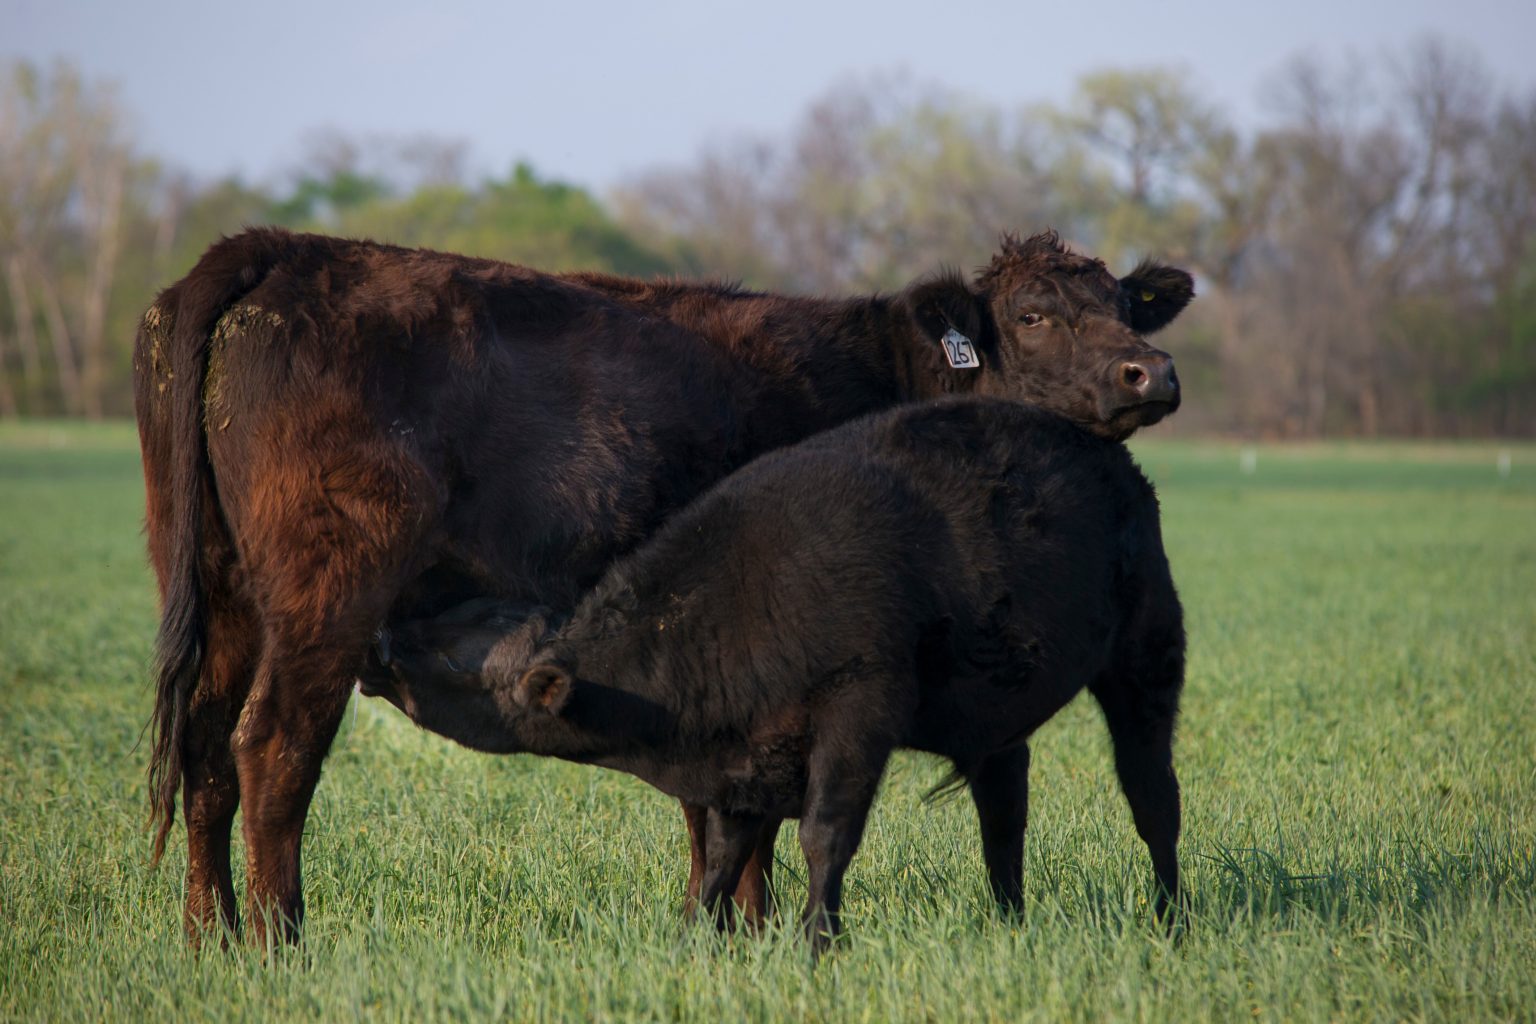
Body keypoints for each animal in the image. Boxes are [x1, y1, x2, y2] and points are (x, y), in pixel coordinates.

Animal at [361, 397, 1187, 954]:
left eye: (456, 656)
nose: (379, 638)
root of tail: (1115, 462)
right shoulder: (745, 761)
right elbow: (724, 854)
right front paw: (694, 939)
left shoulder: (859, 709)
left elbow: (825, 836)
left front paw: (818, 943)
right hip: (999, 725)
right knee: (1004, 818)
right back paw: (1009, 921)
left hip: (1146, 660)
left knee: (1154, 801)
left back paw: (1170, 917)